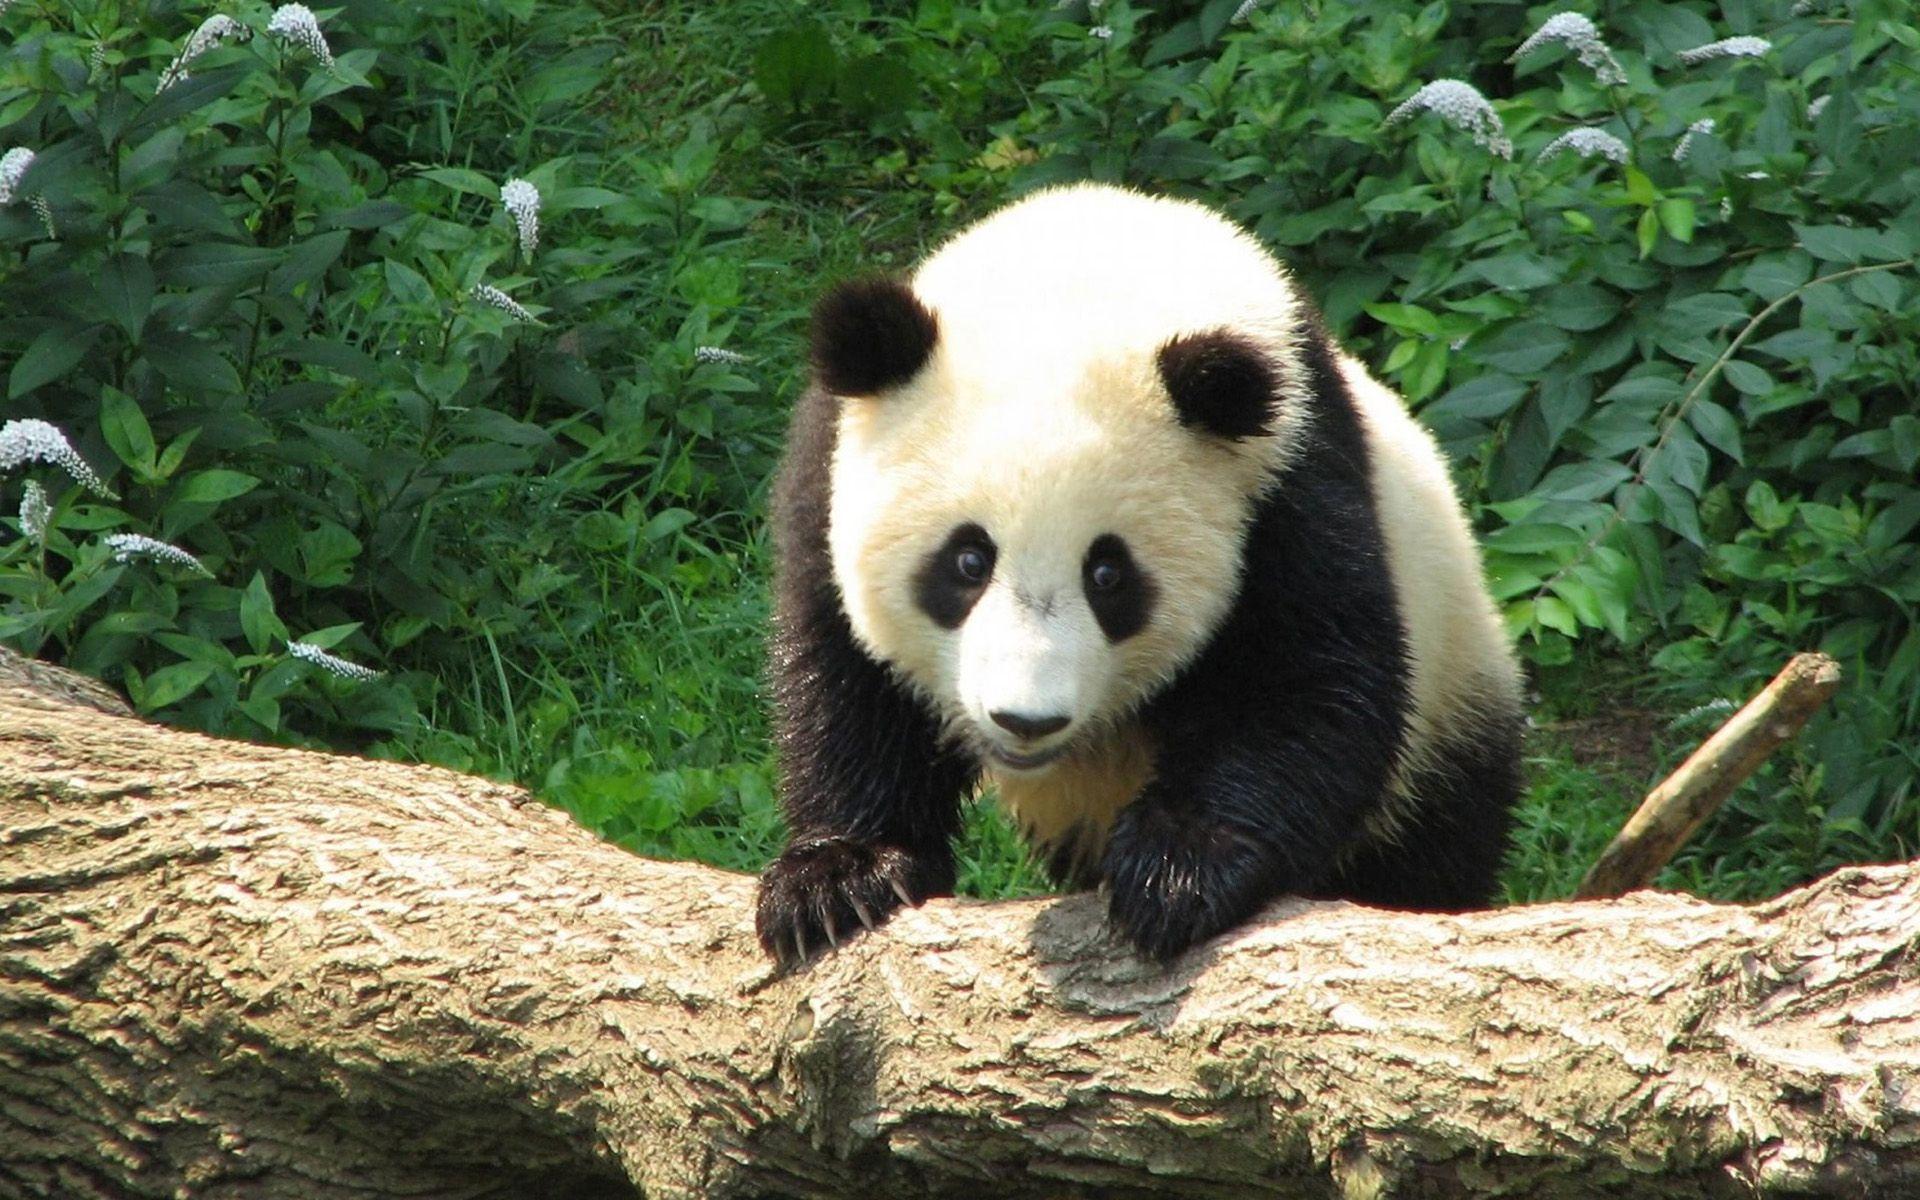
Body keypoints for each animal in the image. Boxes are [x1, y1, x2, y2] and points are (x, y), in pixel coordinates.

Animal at [756, 183, 1523, 966]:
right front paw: (839, 878)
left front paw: (1177, 871)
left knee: (1431, 844)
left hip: (1451, 693)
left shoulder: (1290, 478)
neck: (1094, 268)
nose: (1025, 719)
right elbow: (841, 671)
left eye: (1109, 575)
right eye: (967, 561)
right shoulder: (827, 469)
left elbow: (1311, 681)